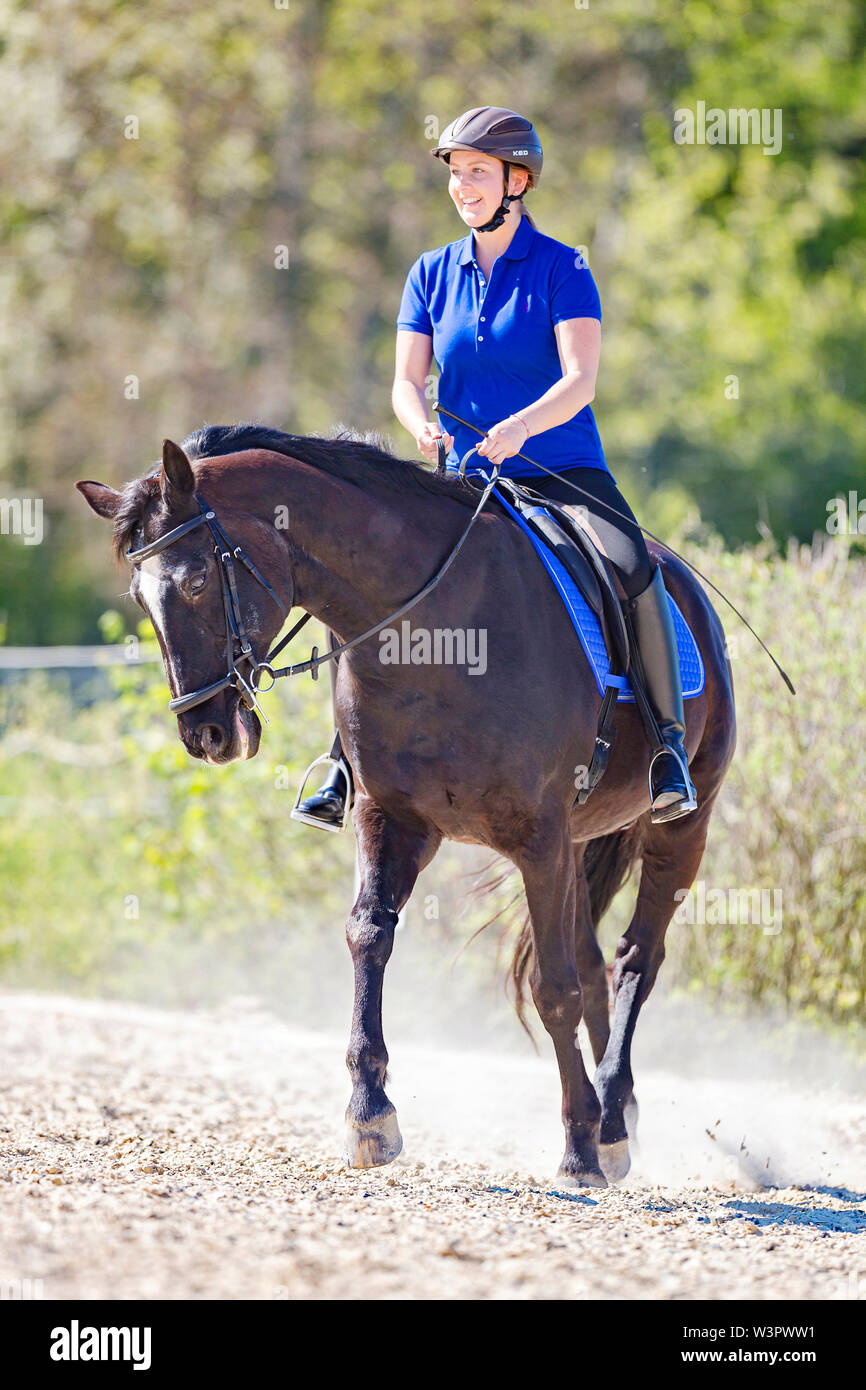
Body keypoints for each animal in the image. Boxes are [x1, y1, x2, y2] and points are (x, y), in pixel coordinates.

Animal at [77, 424, 736, 1187]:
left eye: (195, 580)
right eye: (139, 597)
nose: (206, 734)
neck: (435, 630)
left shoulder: (536, 835)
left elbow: (553, 987)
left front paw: (574, 1149)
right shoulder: (393, 819)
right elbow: (369, 936)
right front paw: (370, 1115)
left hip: (681, 826)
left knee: (634, 959)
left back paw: (604, 1115)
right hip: (575, 842)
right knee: (595, 960)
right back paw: (613, 1124)